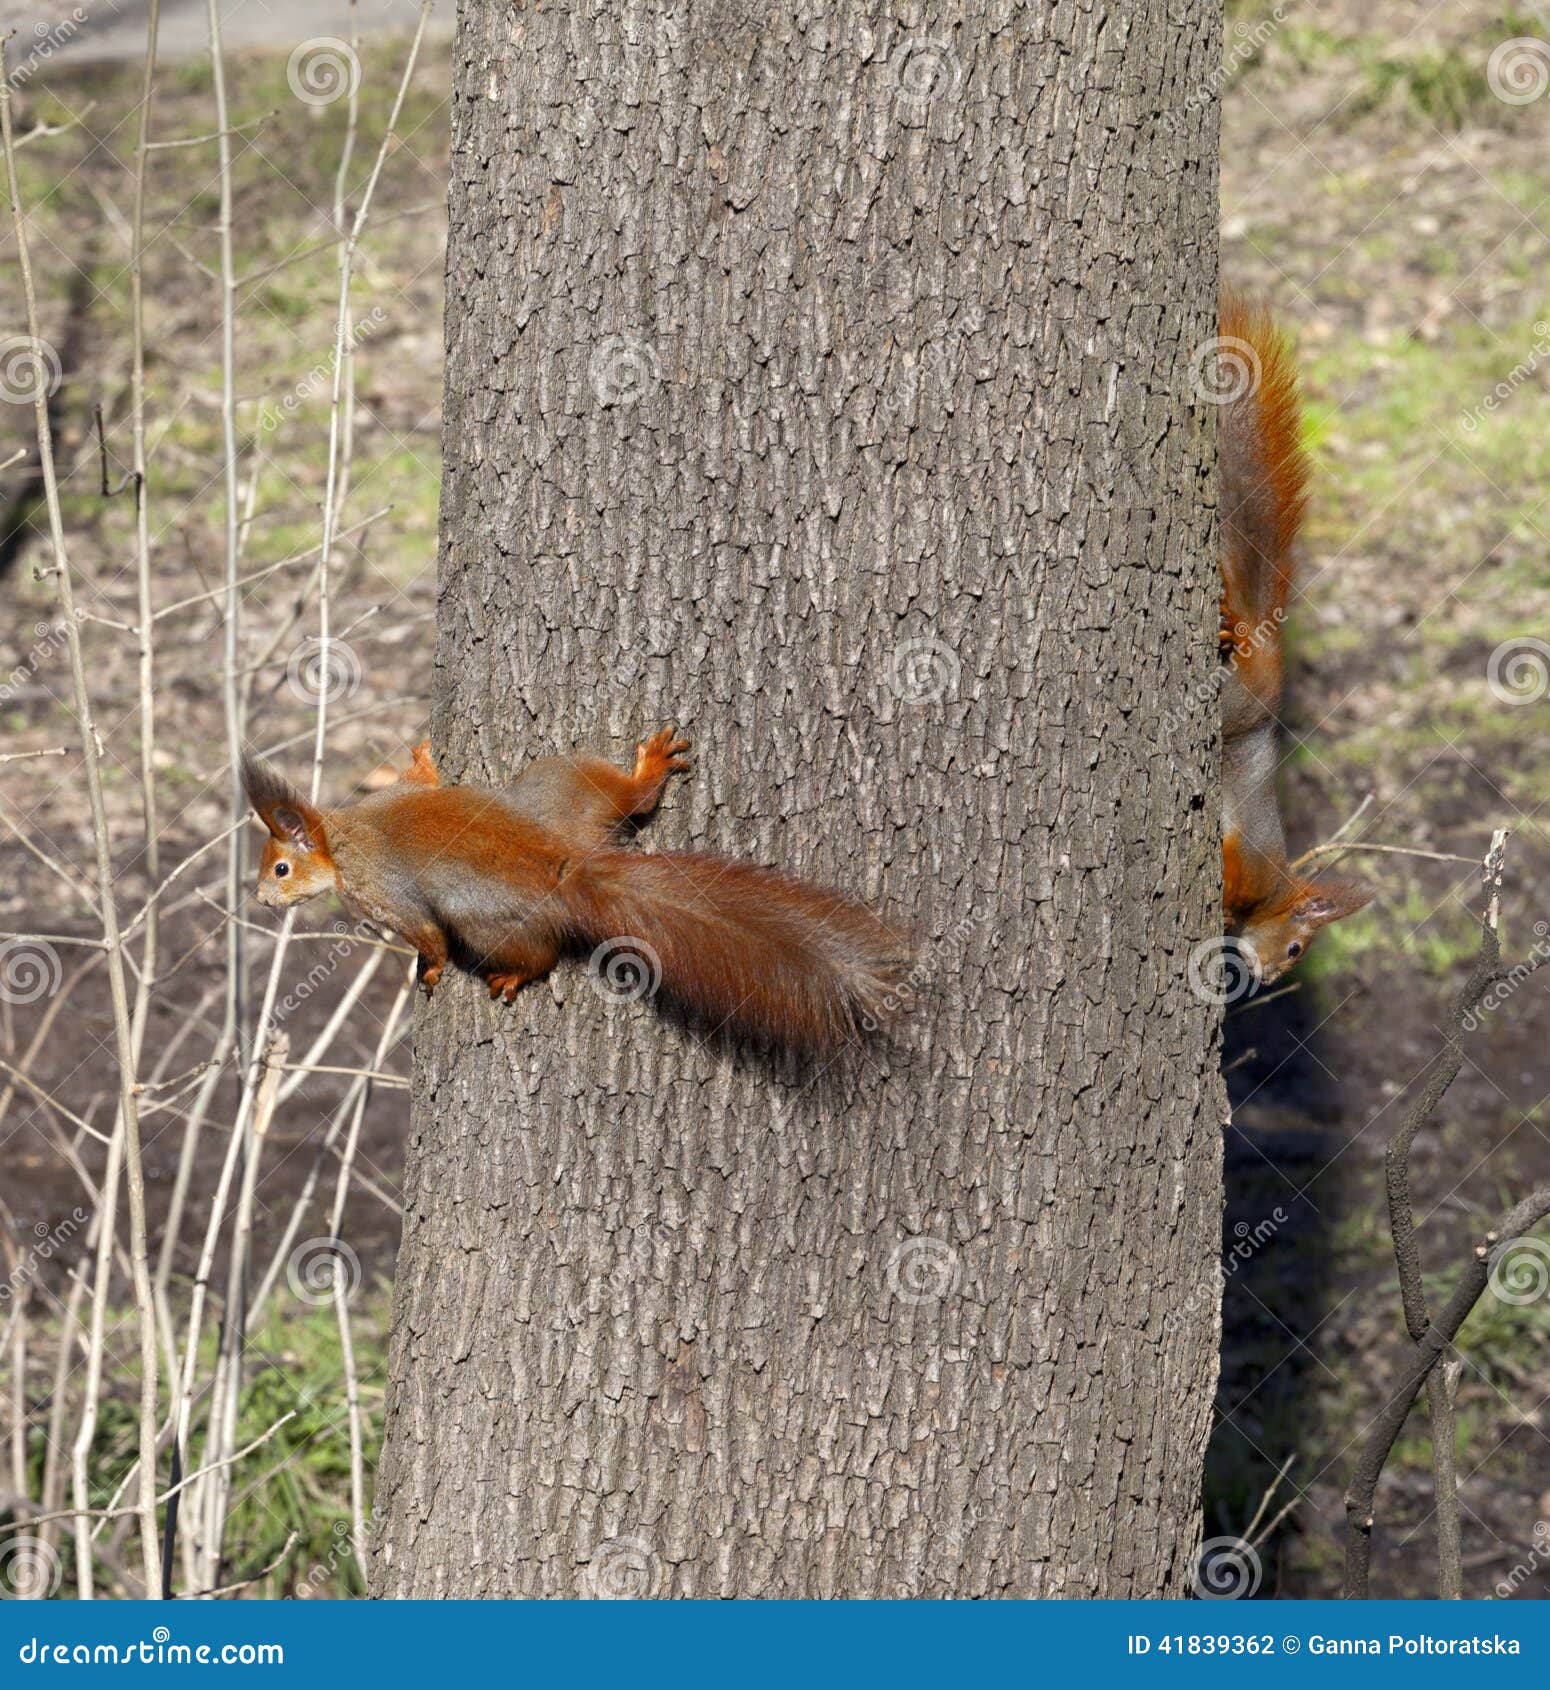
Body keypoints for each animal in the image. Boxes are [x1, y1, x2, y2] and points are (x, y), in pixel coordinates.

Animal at [240, 728, 915, 1051]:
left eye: (279, 869)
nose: (260, 902)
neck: (344, 836)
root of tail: (564, 866)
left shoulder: (388, 894)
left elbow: (427, 936)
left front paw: (427, 972)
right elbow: (423, 781)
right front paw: (423, 756)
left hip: (485, 916)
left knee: (538, 954)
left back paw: (514, 975)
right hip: (561, 786)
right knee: (629, 800)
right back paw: (648, 770)